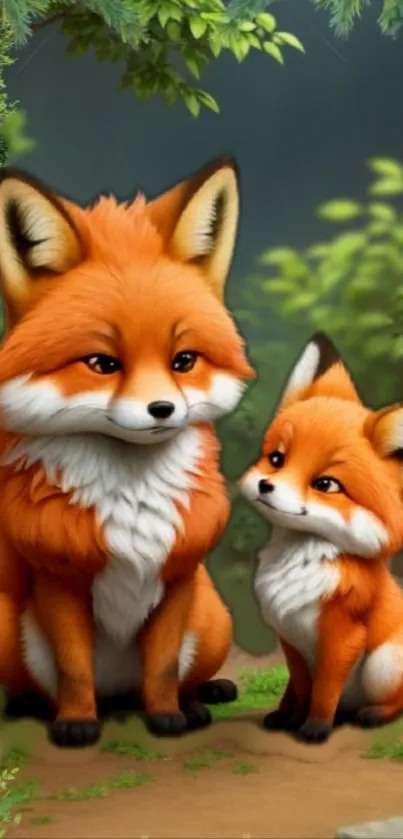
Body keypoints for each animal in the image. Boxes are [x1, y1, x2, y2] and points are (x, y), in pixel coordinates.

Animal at [0, 157, 254, 747]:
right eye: (102, 364)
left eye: (184, 361)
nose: (163, 409)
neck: (132, 501)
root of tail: (118, 693)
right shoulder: (59, 579)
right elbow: (73, 666)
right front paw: (75, 722)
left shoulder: (178, 576)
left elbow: (161, 667)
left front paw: (167, 717)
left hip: (213, 618)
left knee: (184, 675)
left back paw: (201, 699)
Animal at [239, 331, 403, 744]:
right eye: (277, 459)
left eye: (326, 484)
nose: (265, 486)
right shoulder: (291, 642)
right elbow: (301, 689)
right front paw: (290, 719)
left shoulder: (342, 638)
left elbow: (325, 691)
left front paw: (314, 728)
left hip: (381, 664)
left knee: (395, 702)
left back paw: (372, 715)